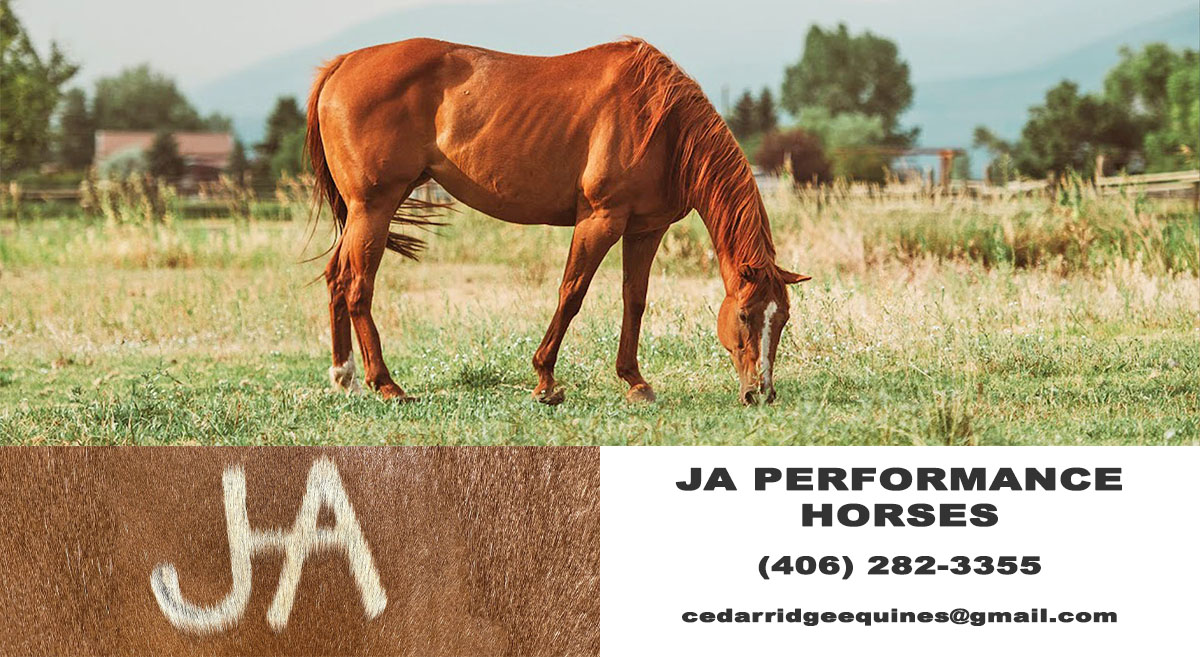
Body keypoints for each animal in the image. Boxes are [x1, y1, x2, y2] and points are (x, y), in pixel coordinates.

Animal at [306, 37, 810, 406]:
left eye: (782, 318)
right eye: (744, 315)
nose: (761, 394)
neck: (661, 122)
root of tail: (342, 64)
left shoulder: (645, 229)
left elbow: (634, 301)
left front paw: (634, 381)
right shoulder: (600, 220)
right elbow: (572, 294)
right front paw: (546, 380)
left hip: (362, 214)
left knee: (336, 278)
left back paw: (344, 377)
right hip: (373, 209)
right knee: (357, 287)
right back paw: (386, 384)